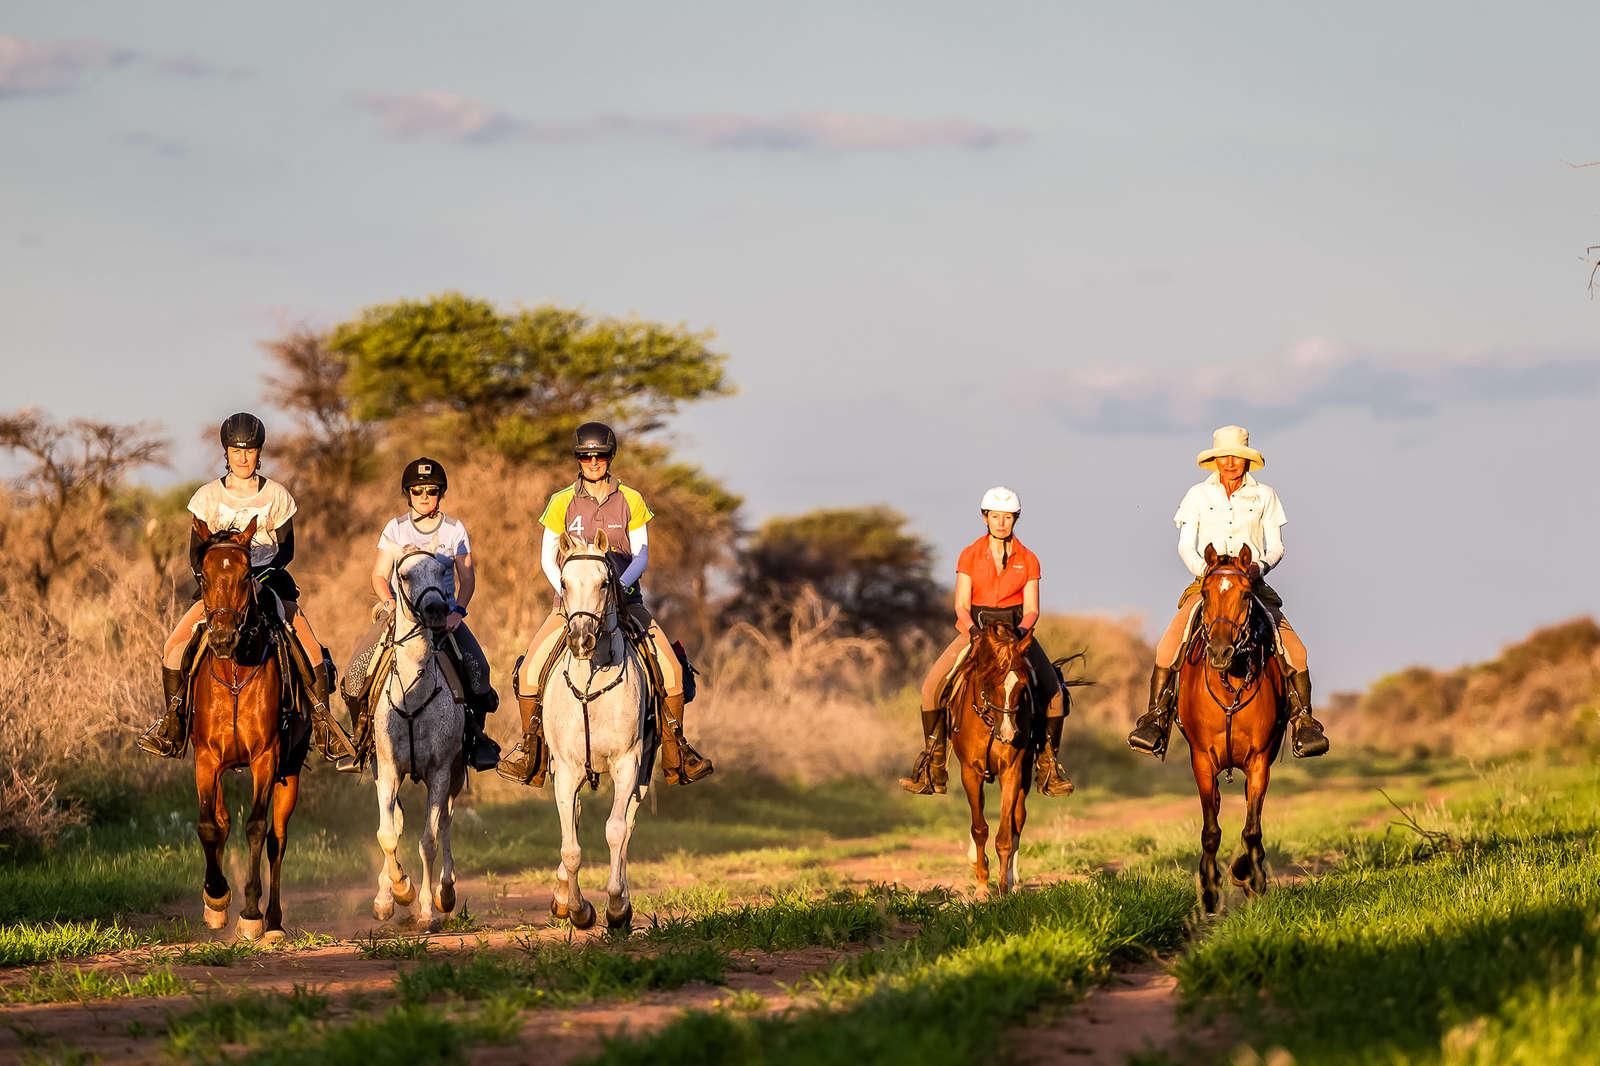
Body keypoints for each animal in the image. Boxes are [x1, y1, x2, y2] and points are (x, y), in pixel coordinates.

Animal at [189, 517, 307, 942]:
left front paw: (251, 913)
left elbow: (256, 828)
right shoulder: (206, 759)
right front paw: (215, 896)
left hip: (289, 774)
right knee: (223, 822)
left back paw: (273, 921)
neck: (235, 674)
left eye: (245, 577)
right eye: (203, 576)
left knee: (277, 841)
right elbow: (209, 825)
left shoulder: (265, 758)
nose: (223, 638)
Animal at [546, 530, 654, 931]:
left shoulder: (627, 763)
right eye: (563, 582)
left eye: (605, 582)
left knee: (628, 825)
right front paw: (578, 909)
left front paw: (617, 907)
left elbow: (616, 830)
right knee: (574, 819)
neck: (591, 679)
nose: (581, 639)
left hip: (642, 772)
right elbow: (571, 847)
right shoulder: (566, 770)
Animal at [948, 621, 1037, 899]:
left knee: (1017, 820)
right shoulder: (970, 773)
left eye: (1022, 685)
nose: (1008, 734)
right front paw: (981, 887)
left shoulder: (1012, 771)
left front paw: (1002, 887)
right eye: (989, 680)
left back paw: (1013, 880)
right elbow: (979, 829)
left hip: (1024, 777)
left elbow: (1005, 836)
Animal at [1177, 543, 1287, 914]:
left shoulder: (1259, 761)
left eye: (1246, 594)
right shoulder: (1201, 760)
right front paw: (1210, 891)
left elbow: (1252, 828)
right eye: (1206, 593)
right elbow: (1211, 830)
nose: (1220, 652)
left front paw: (1249, 876)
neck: (1231, 680)